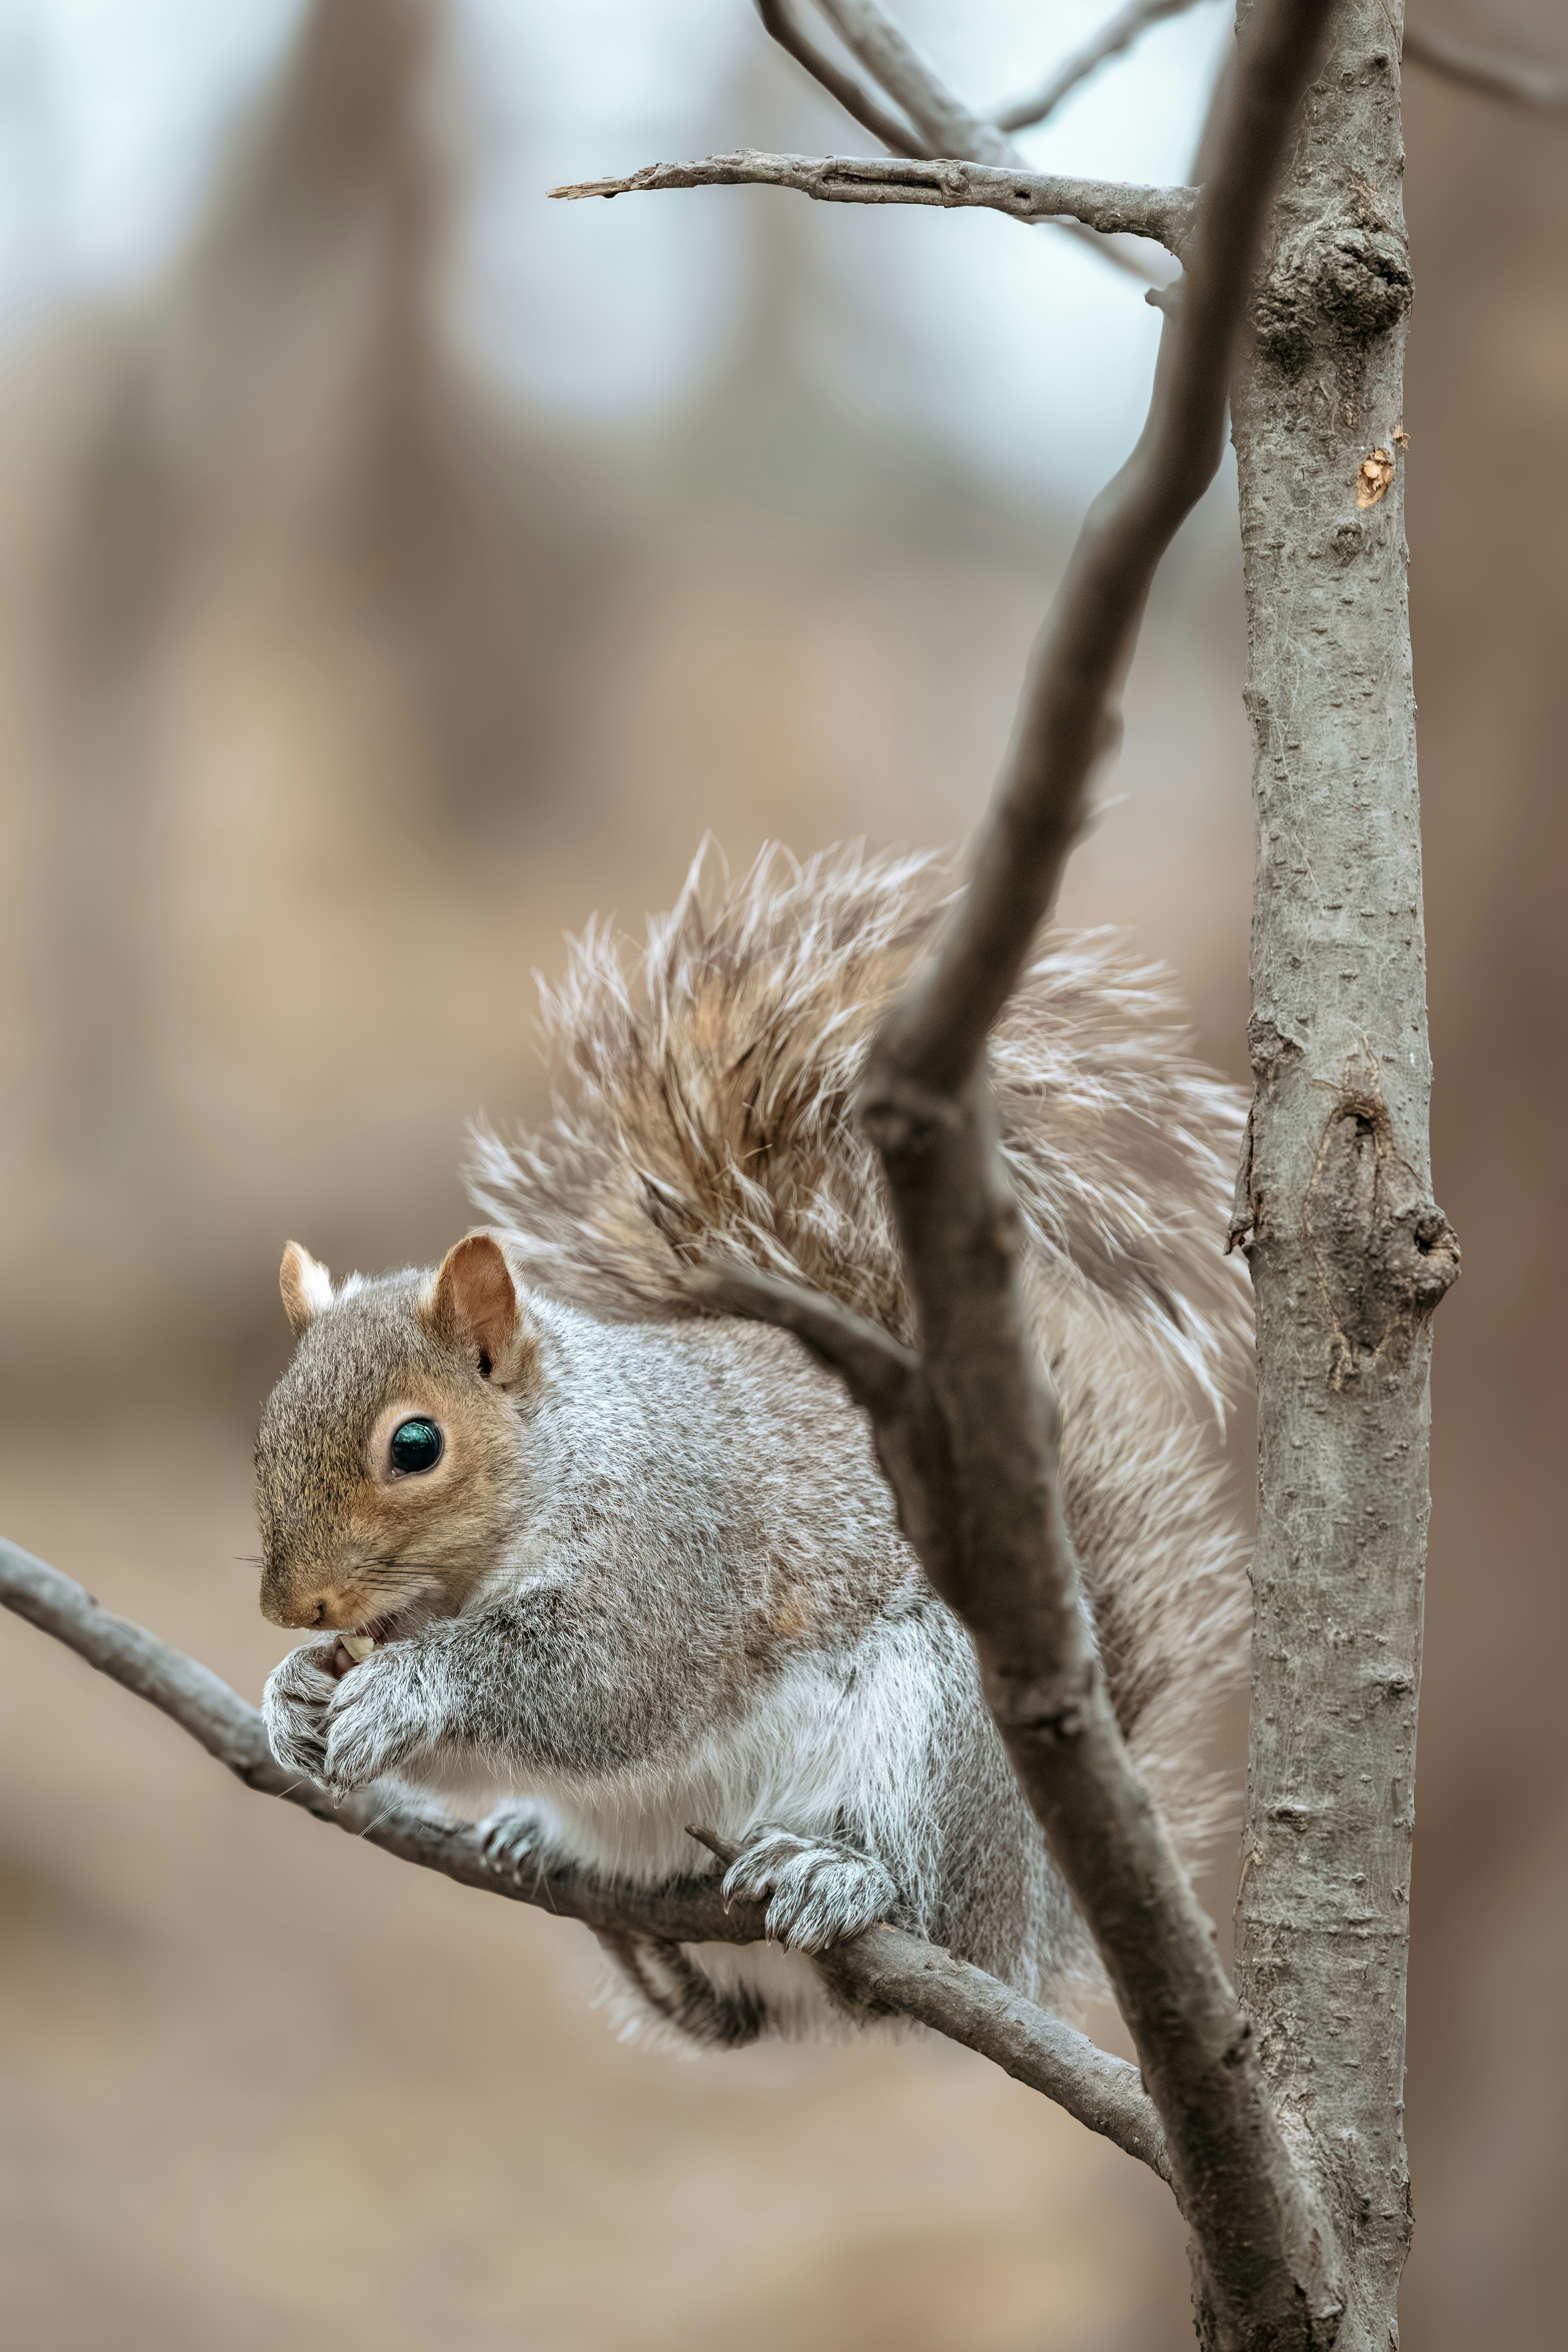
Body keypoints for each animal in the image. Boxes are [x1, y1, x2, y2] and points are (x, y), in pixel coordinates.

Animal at [256, 843, 1250, 2053]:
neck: (568, 1457)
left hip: (937, 1734)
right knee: (713, 2014)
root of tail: (1033, 1922)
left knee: (916, 1903)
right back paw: (576, 1878)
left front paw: (404, 1689)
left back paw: (841, 1877)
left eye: (415, 1444)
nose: (291, 1606)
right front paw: (292, 1692)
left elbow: (598, 1683)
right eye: (265, 1433)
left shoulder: (674, 1556)